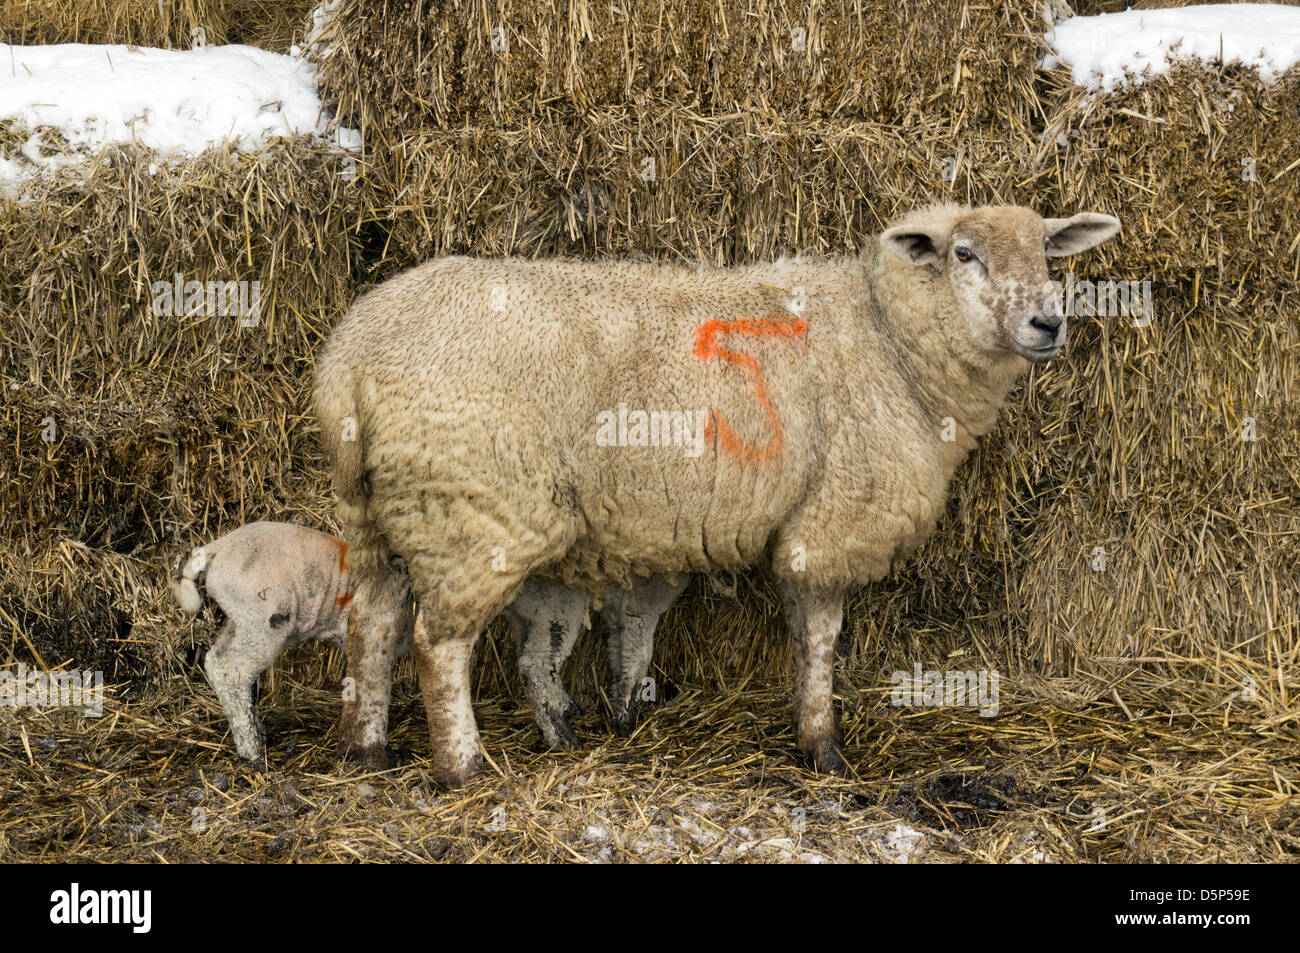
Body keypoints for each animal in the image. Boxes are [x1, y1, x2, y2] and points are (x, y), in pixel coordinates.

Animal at [170, 520, 685, 761]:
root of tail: (213, 551)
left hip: (239, 619)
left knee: (217, 662)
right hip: (263, 619)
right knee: (231, 669)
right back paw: (252, 750)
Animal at [313, 202, 1121, 785]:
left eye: (1047, 252)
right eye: (964, 254)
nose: (1048, 322)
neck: (889, 340)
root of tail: (351, 358)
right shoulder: (829, 522)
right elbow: (819, 640)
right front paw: (823, 747)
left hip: (383, 508)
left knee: (374, 623)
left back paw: (367, 750)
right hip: (471, 511)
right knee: (436, 643)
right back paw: (462, 767)